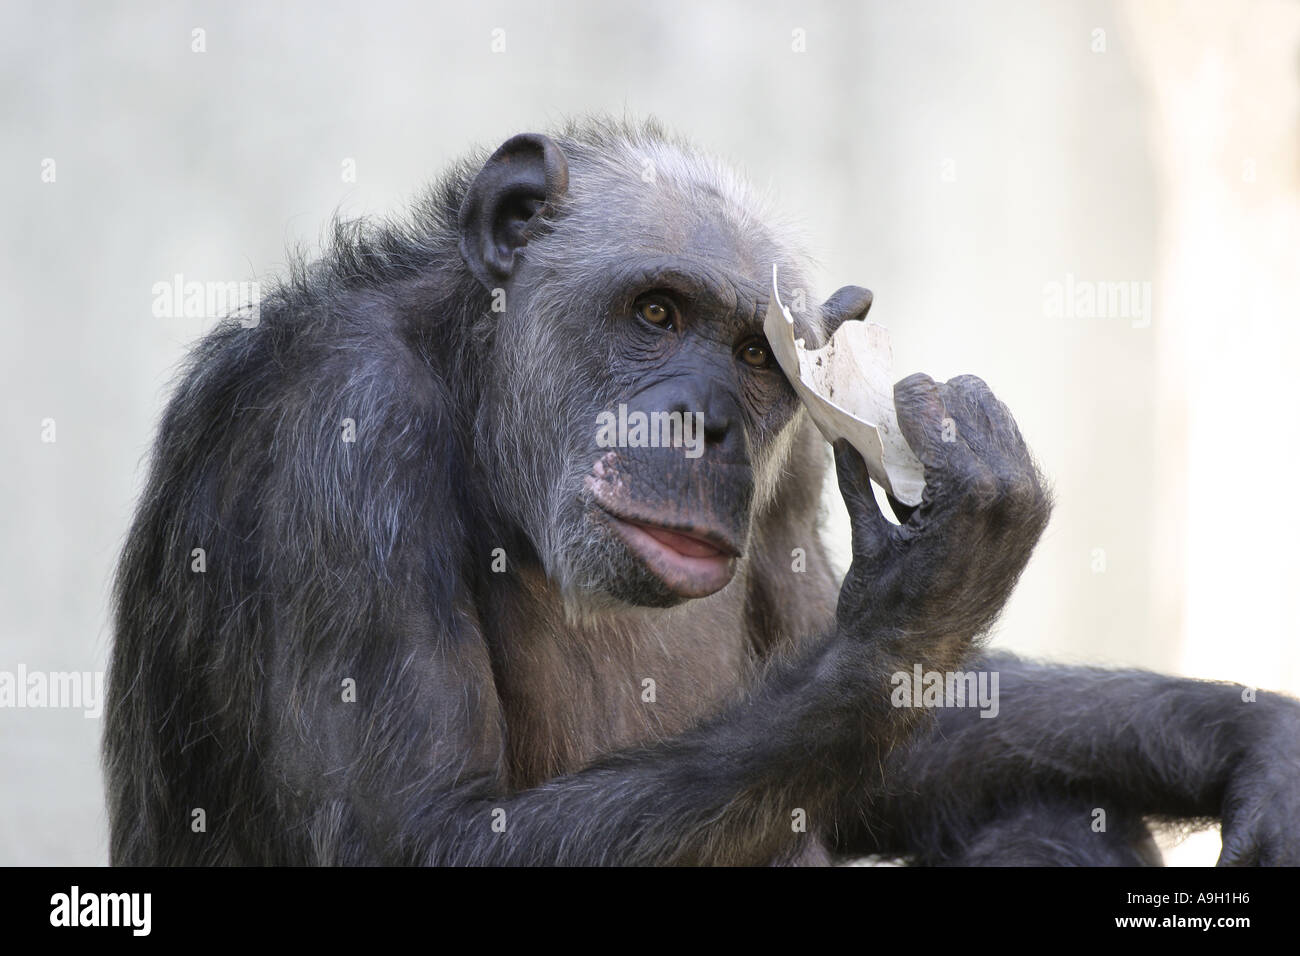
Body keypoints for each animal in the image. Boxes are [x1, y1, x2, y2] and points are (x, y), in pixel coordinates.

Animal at [105, 118, 1300, 865]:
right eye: (655, 312)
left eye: (756, 354)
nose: (706, 418)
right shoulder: (339, 441)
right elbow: (422, 836)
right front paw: (921, 602)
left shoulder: (794, 478)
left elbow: (889, 759)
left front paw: (1255, 740)